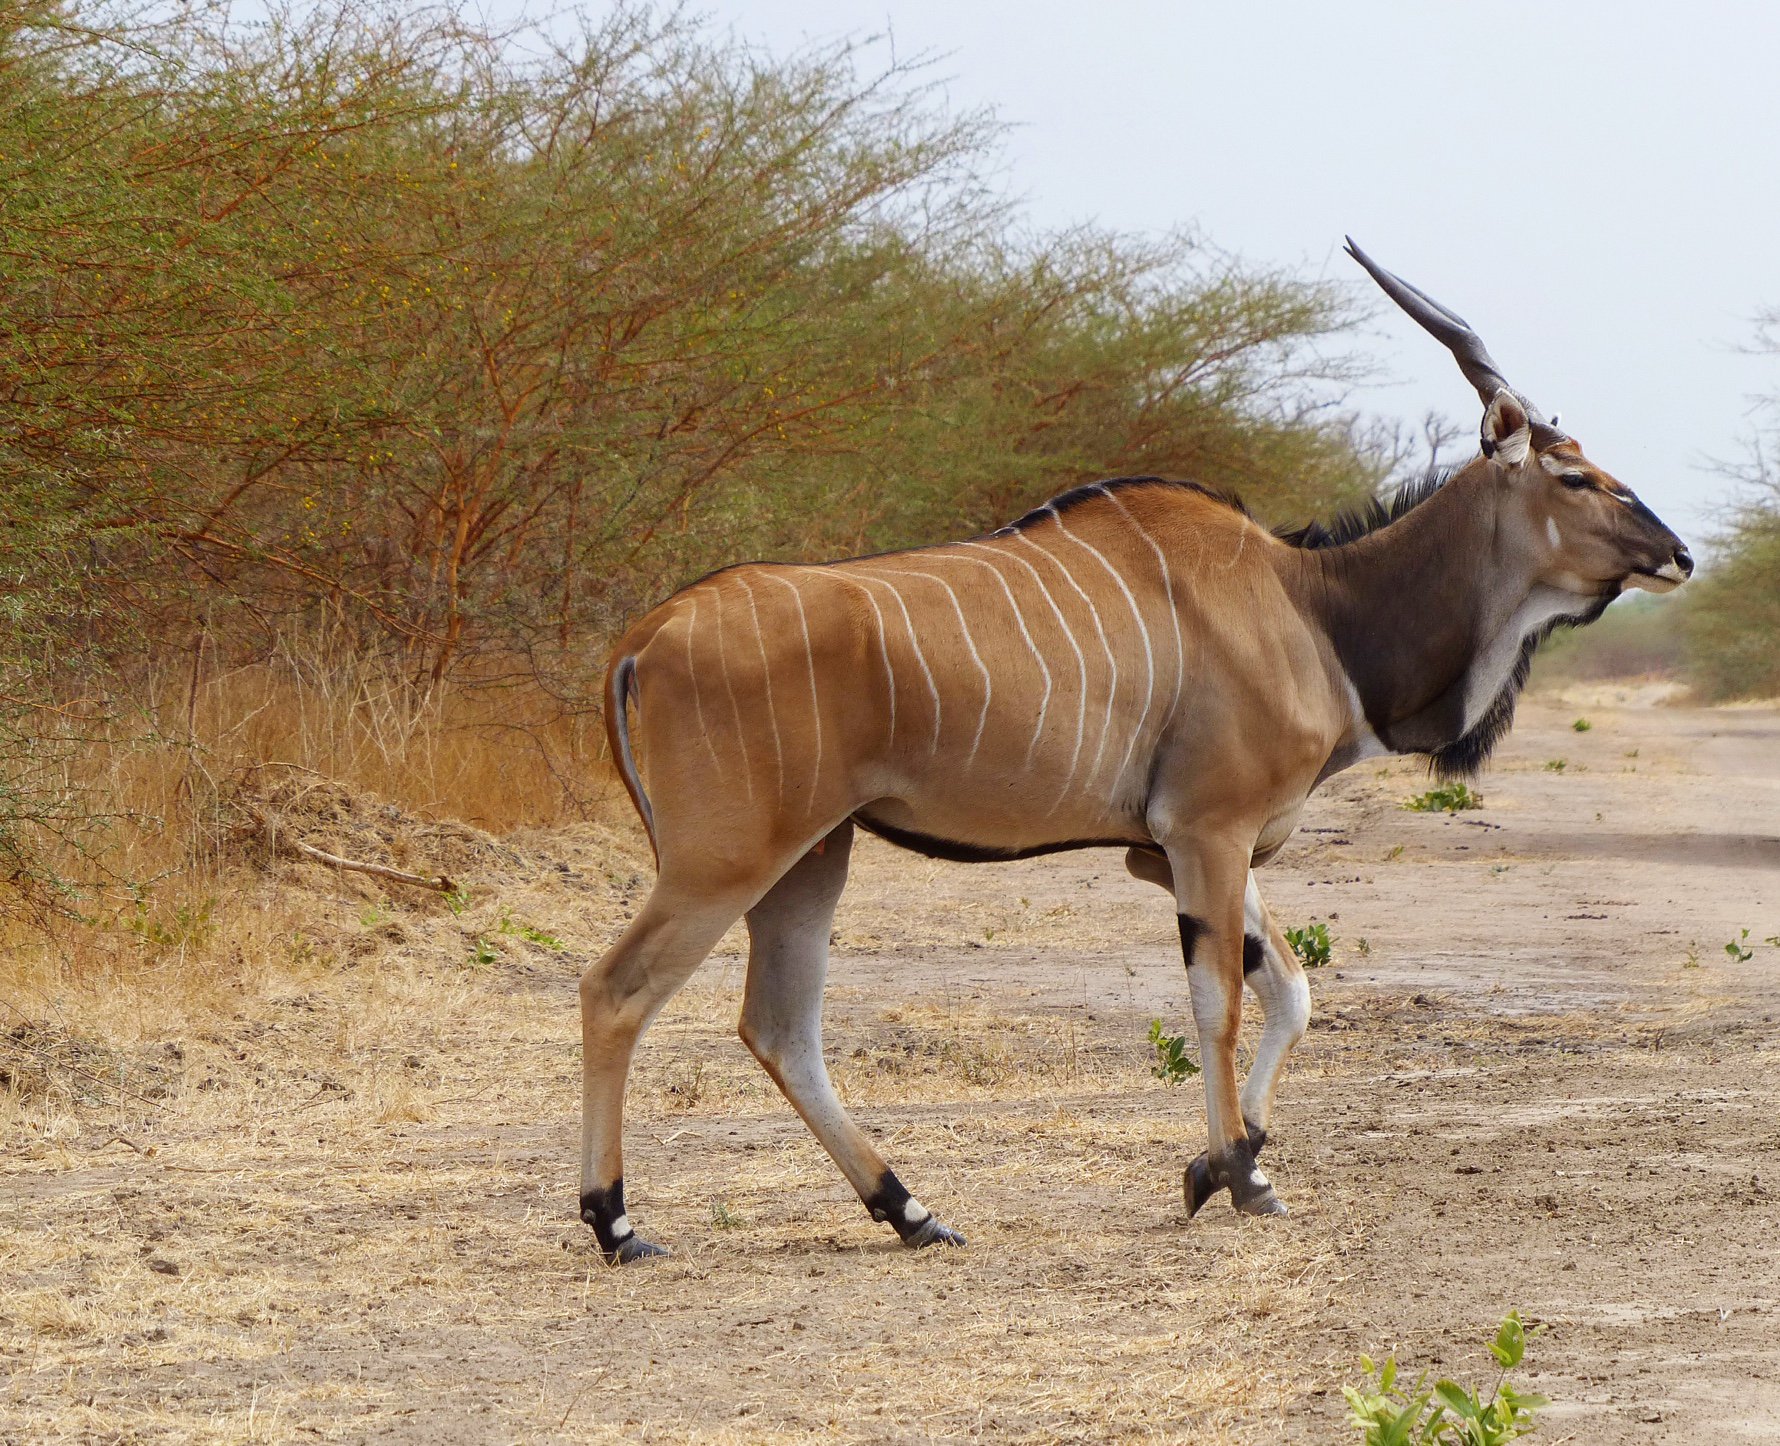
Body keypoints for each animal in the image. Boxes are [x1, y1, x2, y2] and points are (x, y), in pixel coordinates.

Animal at [579, 240, 1693, 1262]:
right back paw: (615, 1221)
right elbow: (1223, 1004)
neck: (1313, 608)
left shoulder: (1167, 849)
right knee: (617, 990)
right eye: (1574, 476)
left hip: (814, 854)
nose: (1678, 553)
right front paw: (1238, 1176)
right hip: (727, 860)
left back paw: (912, 1211)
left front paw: (1228, 1163)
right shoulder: (1207, 835)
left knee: (779, 1027)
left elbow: (1290, 994)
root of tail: (645, 635)